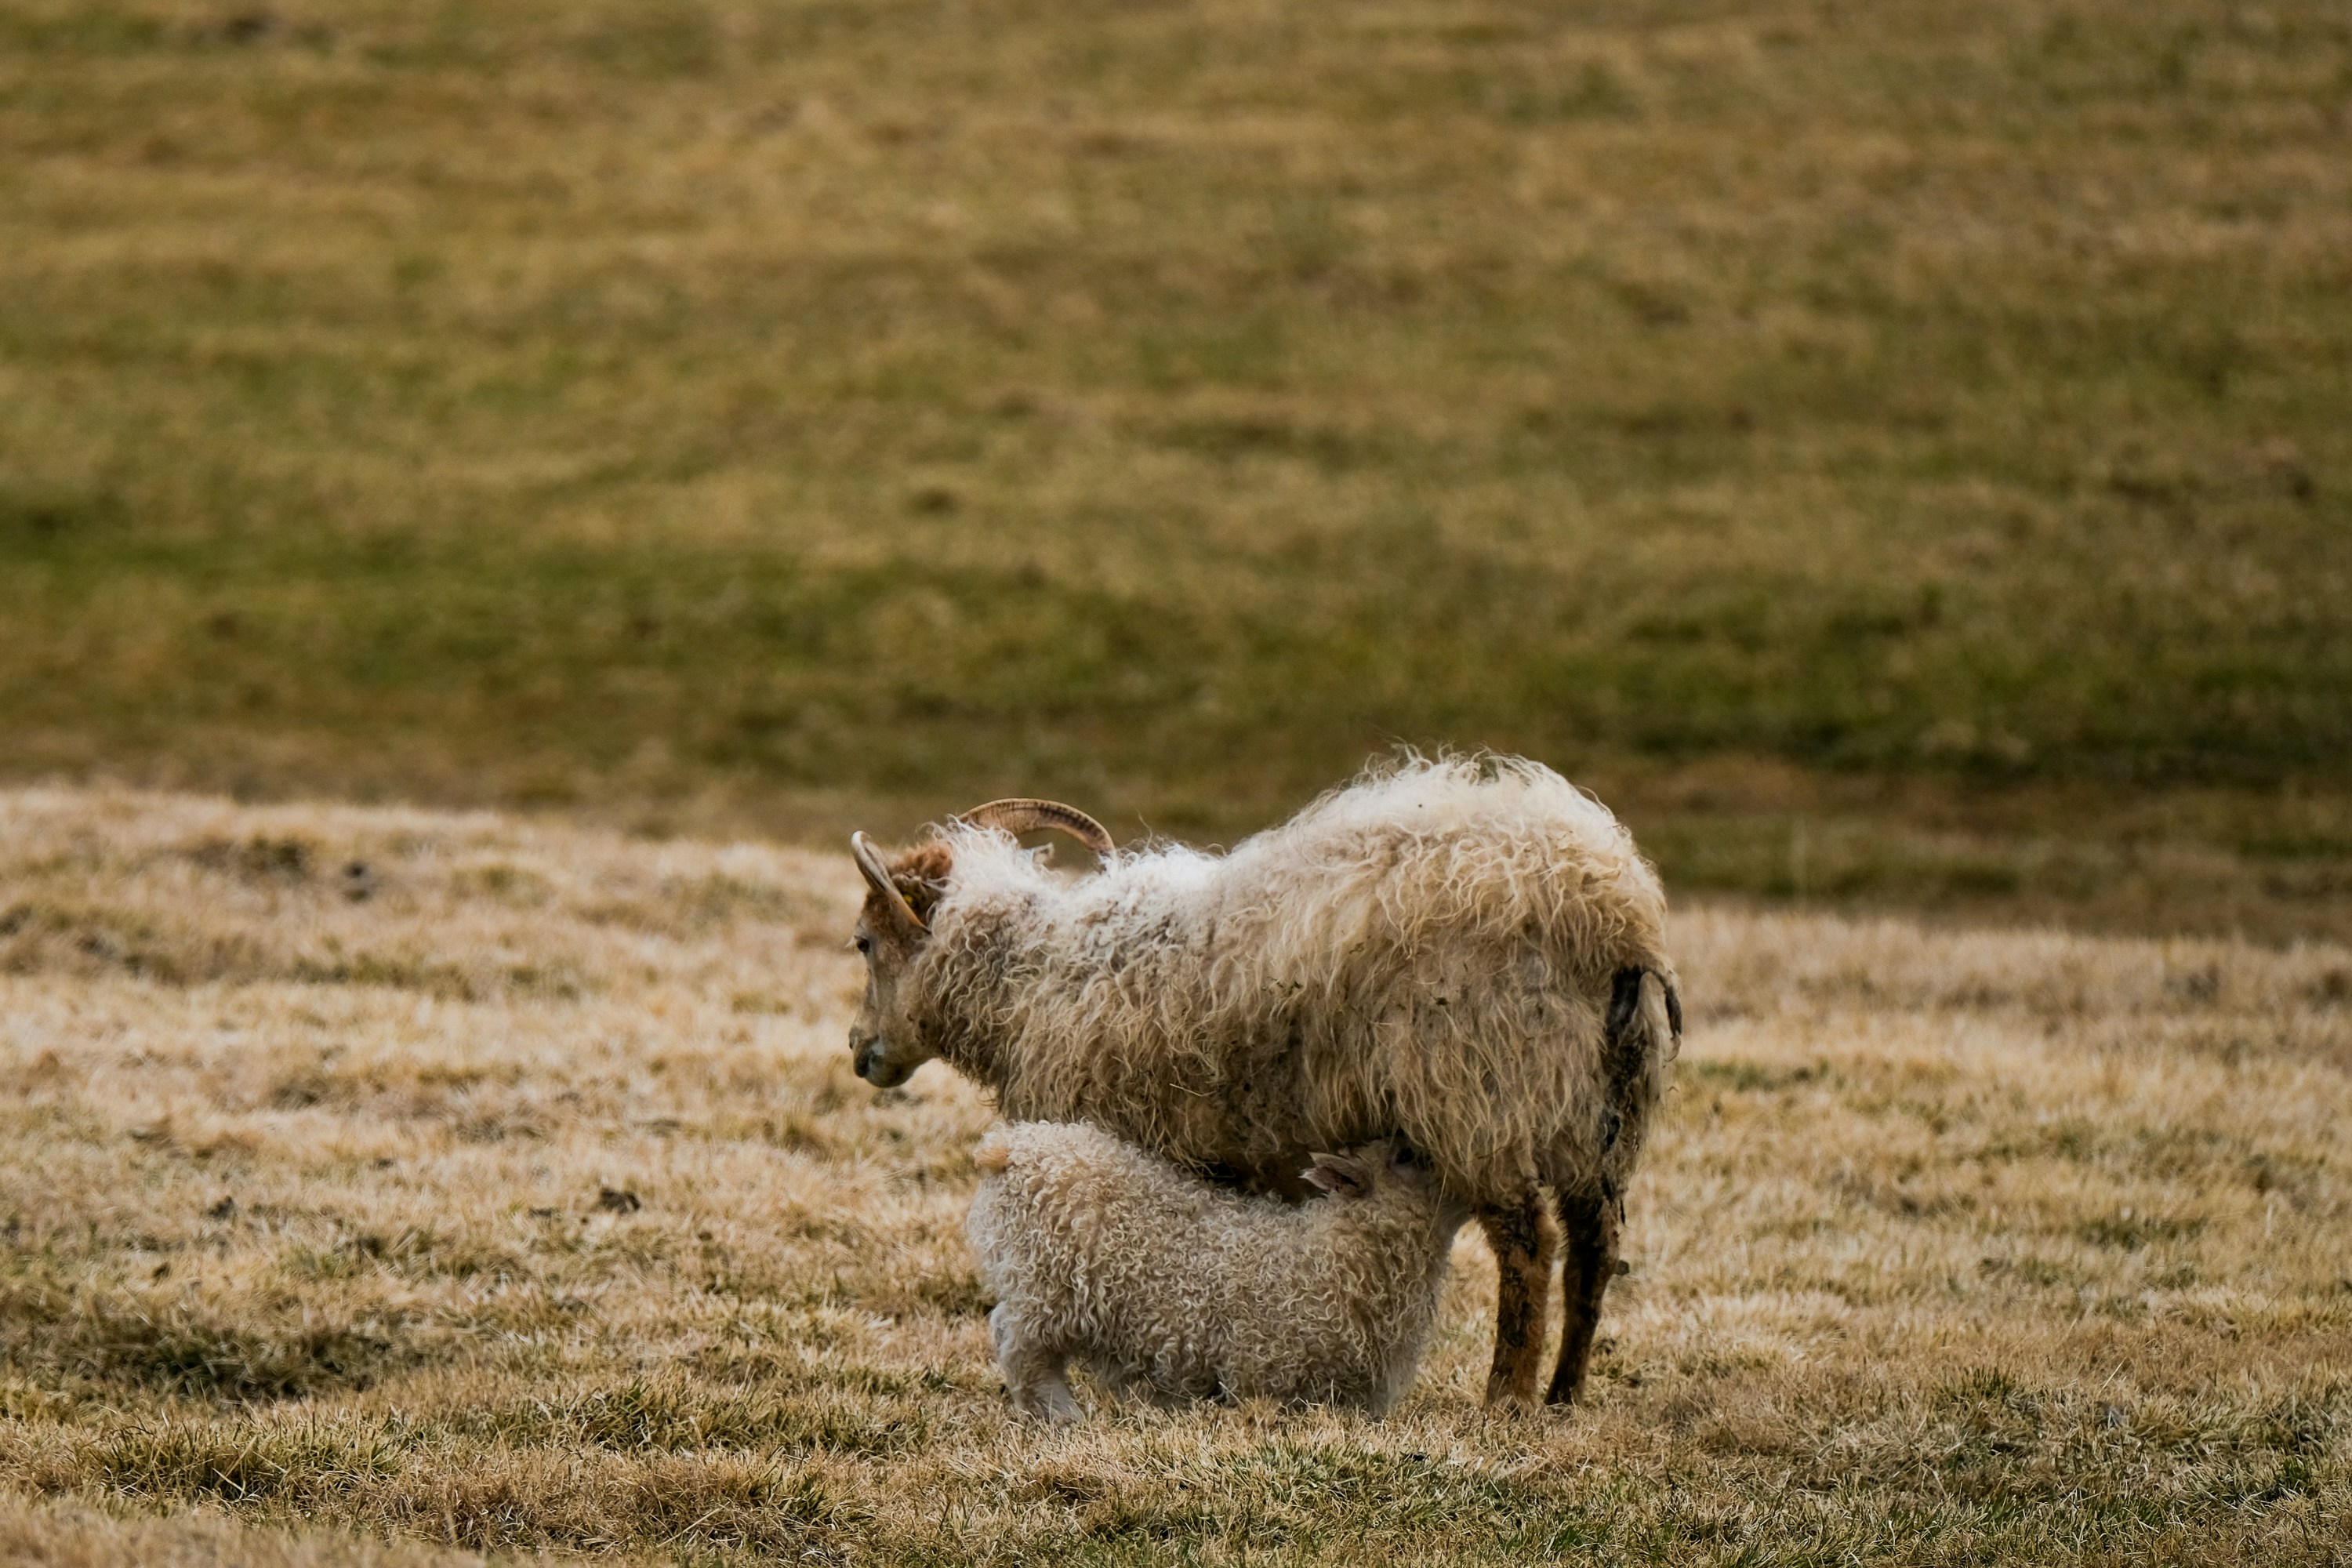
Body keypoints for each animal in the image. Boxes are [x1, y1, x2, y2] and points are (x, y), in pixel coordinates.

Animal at [966, 1120, 1471, 1420]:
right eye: (1405, 1158)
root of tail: (1011, 1147)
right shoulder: (1265, 1373)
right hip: (1045, 1284)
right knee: (1020, 1348)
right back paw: (1061, 1418)